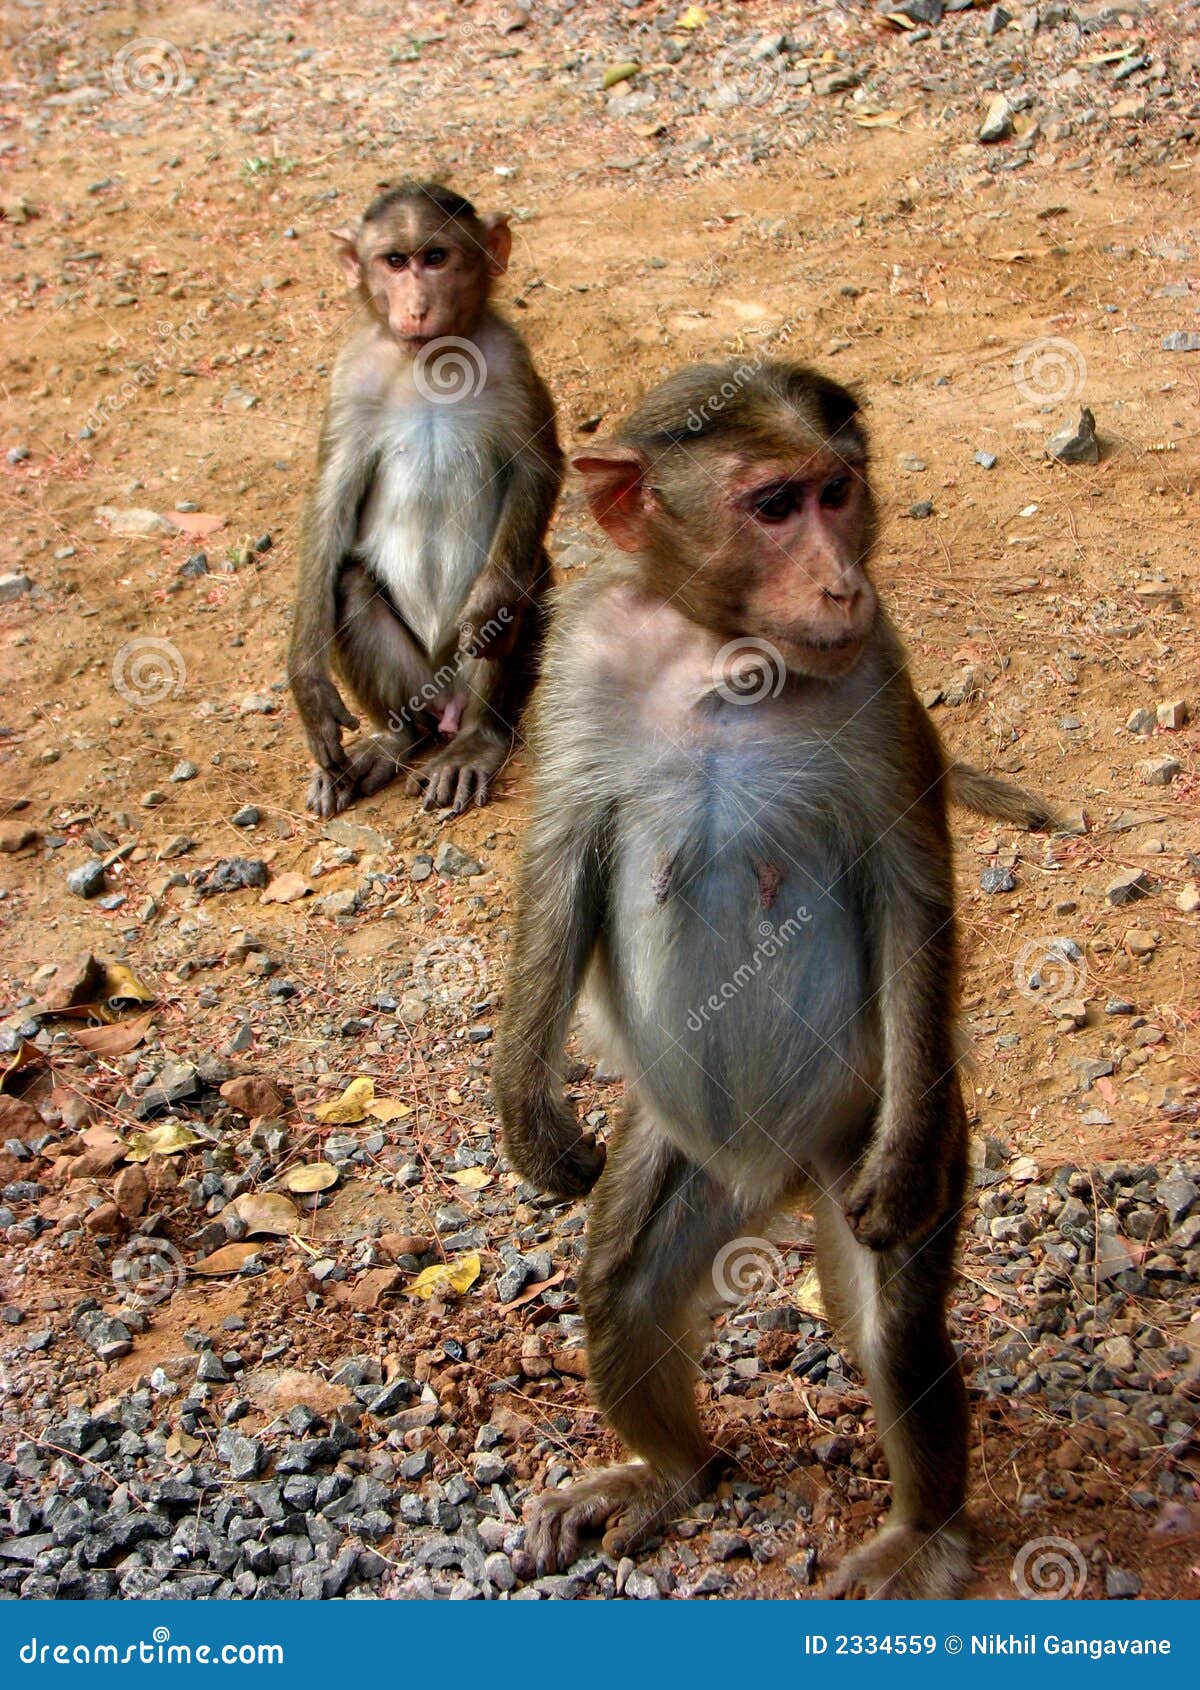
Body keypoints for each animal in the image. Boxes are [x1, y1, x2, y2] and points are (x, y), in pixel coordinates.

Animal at [287, 180, 563, 818]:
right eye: (394, 261)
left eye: (435, 258)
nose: (414, 306)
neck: (430, 360)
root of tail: (447, 703)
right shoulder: (351, 376)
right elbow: (331, 500)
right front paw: (308, 684)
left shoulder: (511, 358)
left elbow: (537, 467)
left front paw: (491, 601)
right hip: (417, 682)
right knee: (348, 582)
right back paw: (396, 738)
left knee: (526, 576)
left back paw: (476, 741)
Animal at [494, 360, 981, 1600]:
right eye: (773, 506)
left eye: (837, 491)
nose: (841, 579)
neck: (724, 651)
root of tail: (784, 1175)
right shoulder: (584, 656)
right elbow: (561, 863)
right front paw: (526, 1107)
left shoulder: (876, 675)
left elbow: (910, 893)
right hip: (686, 1152)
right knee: (621, 1277)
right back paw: (671, 1471)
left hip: (873, 1125)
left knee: (899, 1330)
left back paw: (925, 1532)